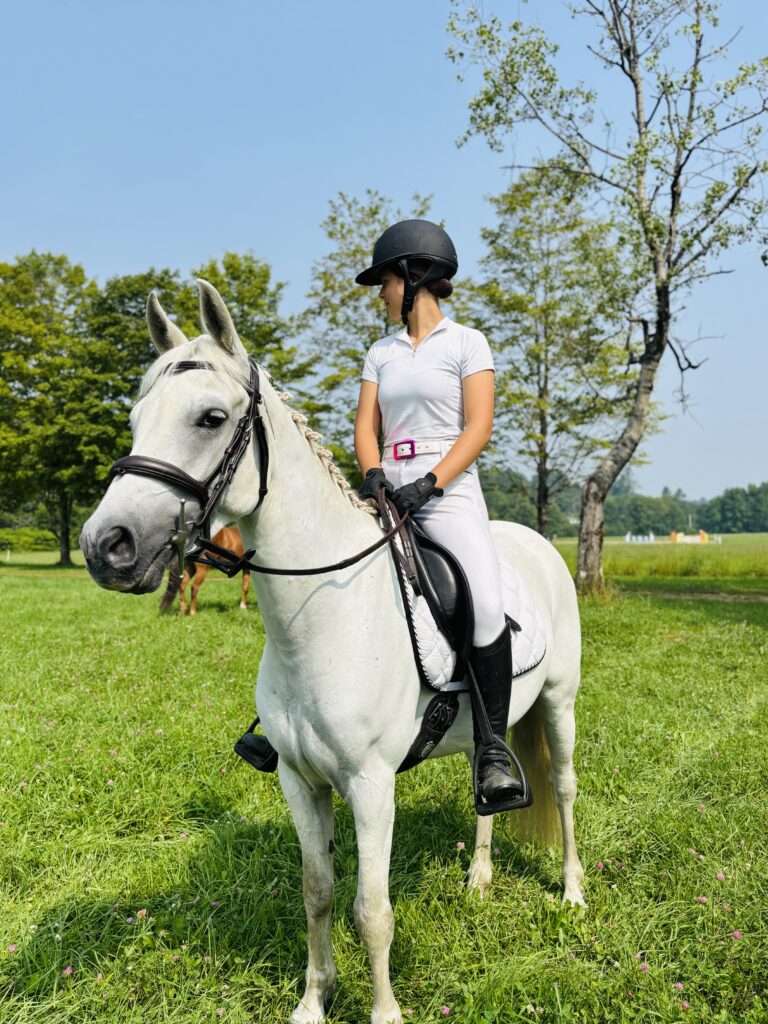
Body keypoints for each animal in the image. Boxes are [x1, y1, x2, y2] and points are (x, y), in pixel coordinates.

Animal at [80, 281, 585, 1024]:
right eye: (137, 418)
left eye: (210, 417)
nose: (106, 546)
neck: (321, 624)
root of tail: (537, 541)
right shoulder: (299, 780)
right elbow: (317, 892)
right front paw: (313, 1002)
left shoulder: (371, 786)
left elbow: (371, 909)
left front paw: (383, 1012)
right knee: (488, 793)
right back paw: (479, 880)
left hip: (558, 702)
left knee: (565, 786)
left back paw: (574, 894)